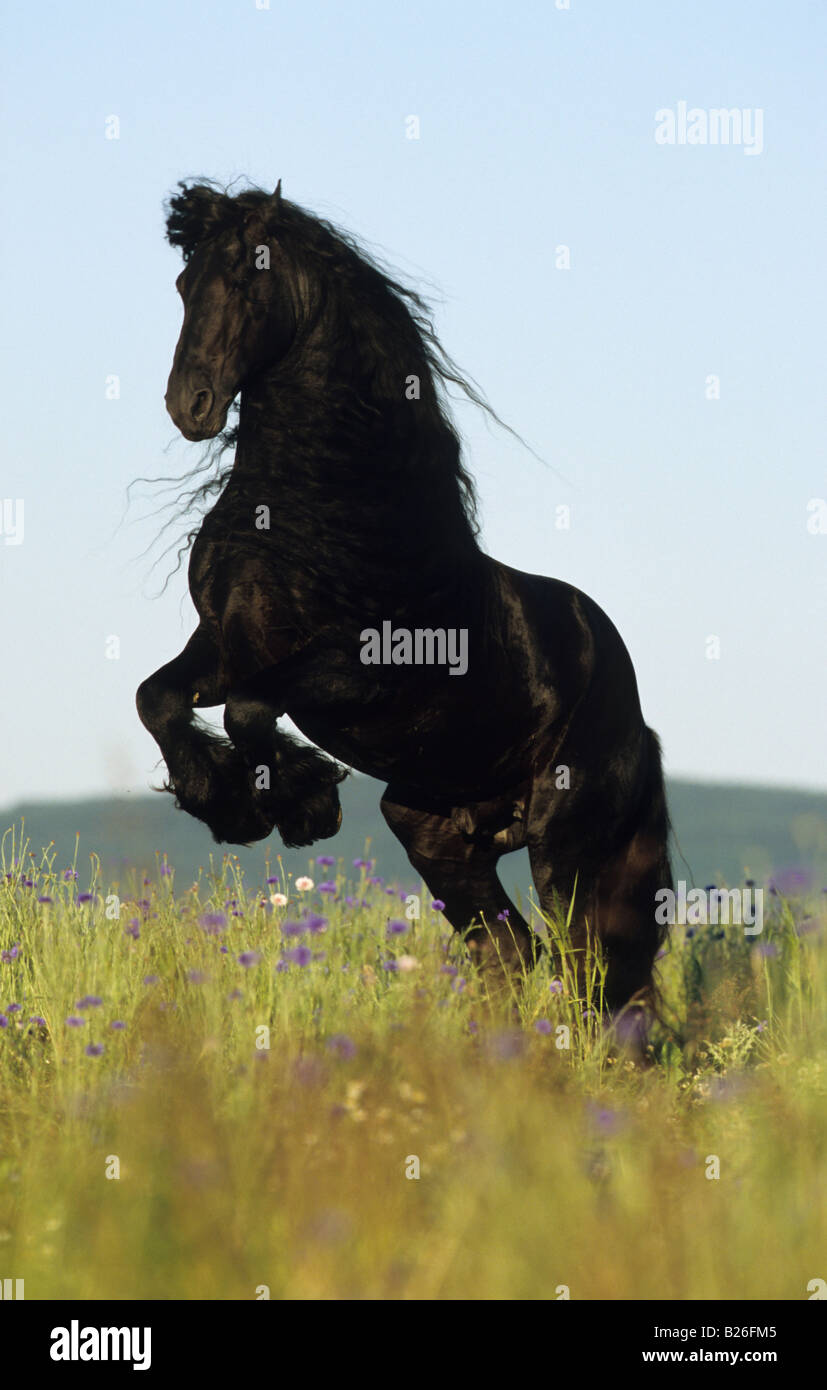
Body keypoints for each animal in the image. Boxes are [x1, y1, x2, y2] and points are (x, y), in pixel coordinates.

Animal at [136, 179, 673, 1015]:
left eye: (247, 274)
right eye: (184, 283)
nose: (188, 405)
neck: (312, 507)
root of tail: (635, 717)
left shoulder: (357, 670)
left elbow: (249, 711)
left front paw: (305, 801)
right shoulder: (222, 646)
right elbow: (158, 700)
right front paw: (232, 807)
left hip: (568, 844)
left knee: (596, 976)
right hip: (439, 839)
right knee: (516, 959)